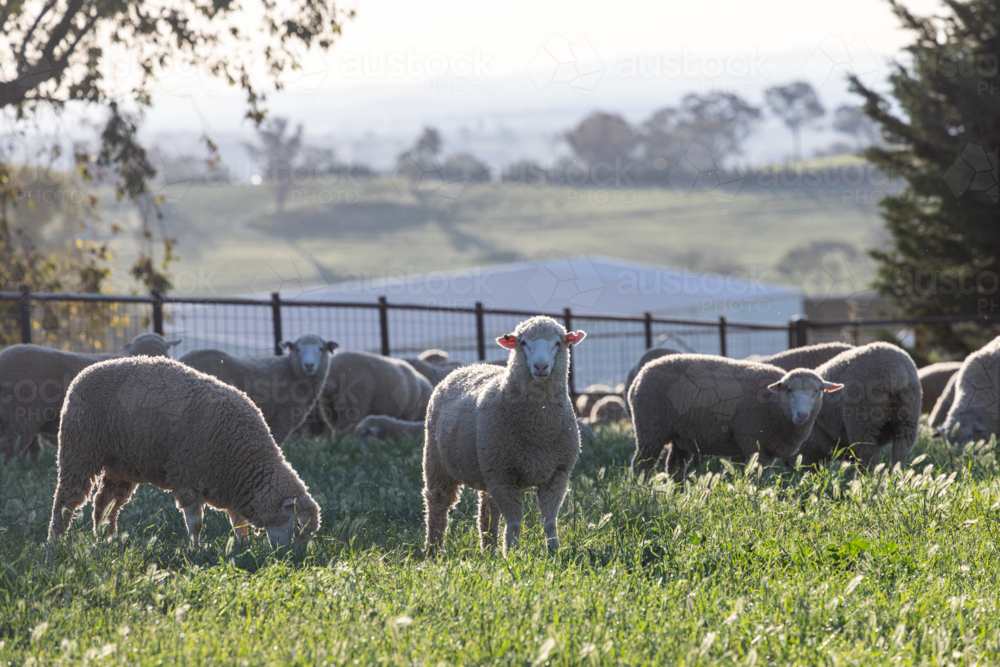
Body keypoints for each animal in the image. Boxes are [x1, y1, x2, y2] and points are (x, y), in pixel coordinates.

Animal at [48, 356, 320, 548]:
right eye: (297, 527)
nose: (295, 559)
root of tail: (83, 374)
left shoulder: (230, 488)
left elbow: (239, 525)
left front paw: (245, 549)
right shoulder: (188, 479)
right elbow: (196, 523)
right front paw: (195, 550)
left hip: (121, 465)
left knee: (104, 501)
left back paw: (104, 539)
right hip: (79, 450)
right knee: (65, 501)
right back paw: (56, 542)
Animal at [423, 316, 586, 555]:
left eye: (558, 343)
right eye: (523, 343)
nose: (540, 366)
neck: (538, 429)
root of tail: (469, 366)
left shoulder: (557, 474)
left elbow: (549, 522)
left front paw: (553, 554)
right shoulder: (503, 476)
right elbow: (515, 524)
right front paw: (514, 557)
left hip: (488, 470)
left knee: (487, 511)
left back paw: (489, 551)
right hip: (438, 461)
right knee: (438, 504)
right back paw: (434, 551)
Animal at [629, 355, 843, 481]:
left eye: (816, 391)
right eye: (789, 390)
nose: (802, 415)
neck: (774, 405)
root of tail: (640, 376)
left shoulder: (764, 448)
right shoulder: (753, 441)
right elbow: (761, 476)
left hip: (681, 436)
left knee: (675, 467)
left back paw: (678, 494)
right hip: (650, 430)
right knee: (641, 465)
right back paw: (641, 491)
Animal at [790, 342, 922, 470]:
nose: (792, 469)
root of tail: (895, 370)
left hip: (863, 421)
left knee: (869, 456)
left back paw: (868, 477)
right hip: (908, 419)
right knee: (901, 452)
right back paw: (898, 474)